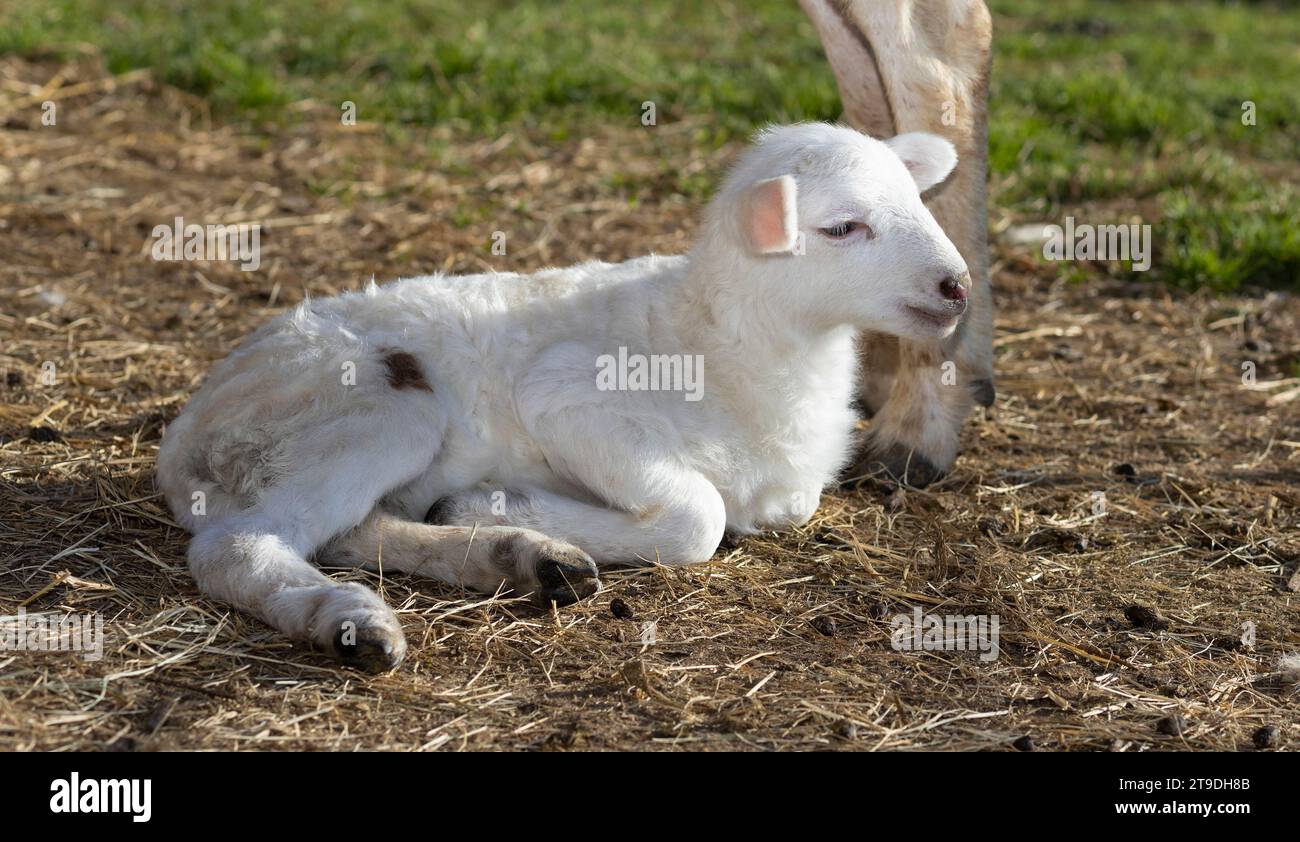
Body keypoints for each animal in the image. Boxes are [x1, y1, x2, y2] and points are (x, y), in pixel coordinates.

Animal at [156, 122, 969, 671]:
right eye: (842, 227)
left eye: (915, 200)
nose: (957, 286)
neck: (720, 343)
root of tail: (187, 435)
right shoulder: (569, 392)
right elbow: (700, 516)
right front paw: (509, 503)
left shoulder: (789, 487)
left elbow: (774, 506)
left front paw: (489, 512)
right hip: (381, 404)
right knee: (237, 547)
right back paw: (355, 619)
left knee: (347, 531)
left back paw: (518, 555)